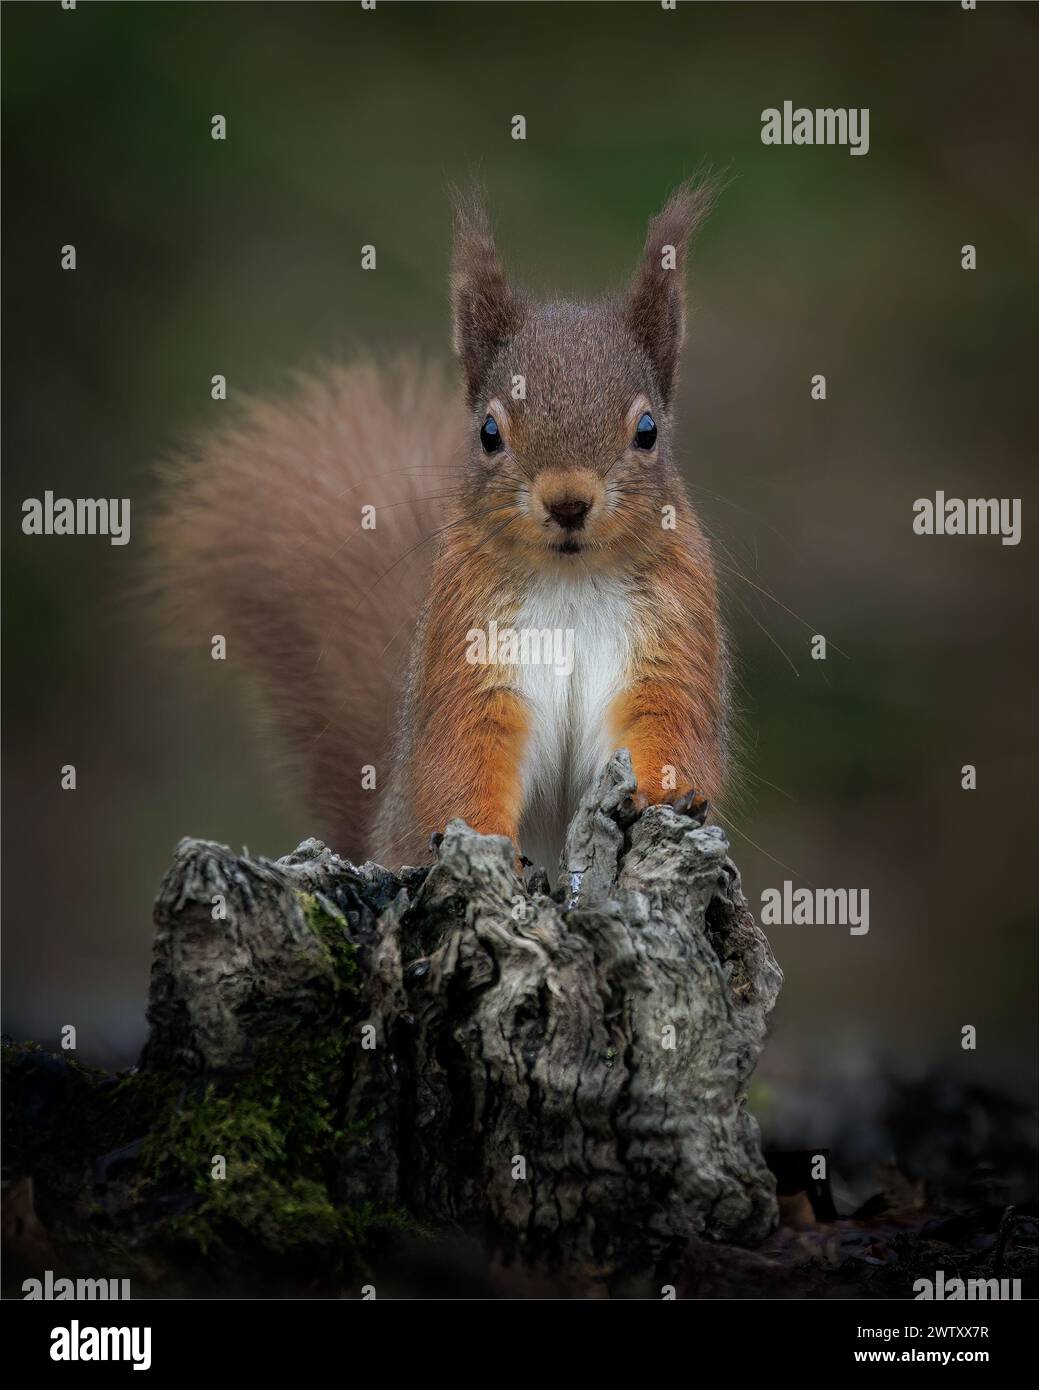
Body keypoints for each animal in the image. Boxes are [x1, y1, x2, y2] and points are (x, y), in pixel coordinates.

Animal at [154, 178, 728, 873]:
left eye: (647, 430)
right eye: (488, 432)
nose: (568, 503)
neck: (570, 578)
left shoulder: (675, 636)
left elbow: (673, 720)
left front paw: (667, 793)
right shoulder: (467, 647)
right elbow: (464, 750)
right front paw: (482, 838)